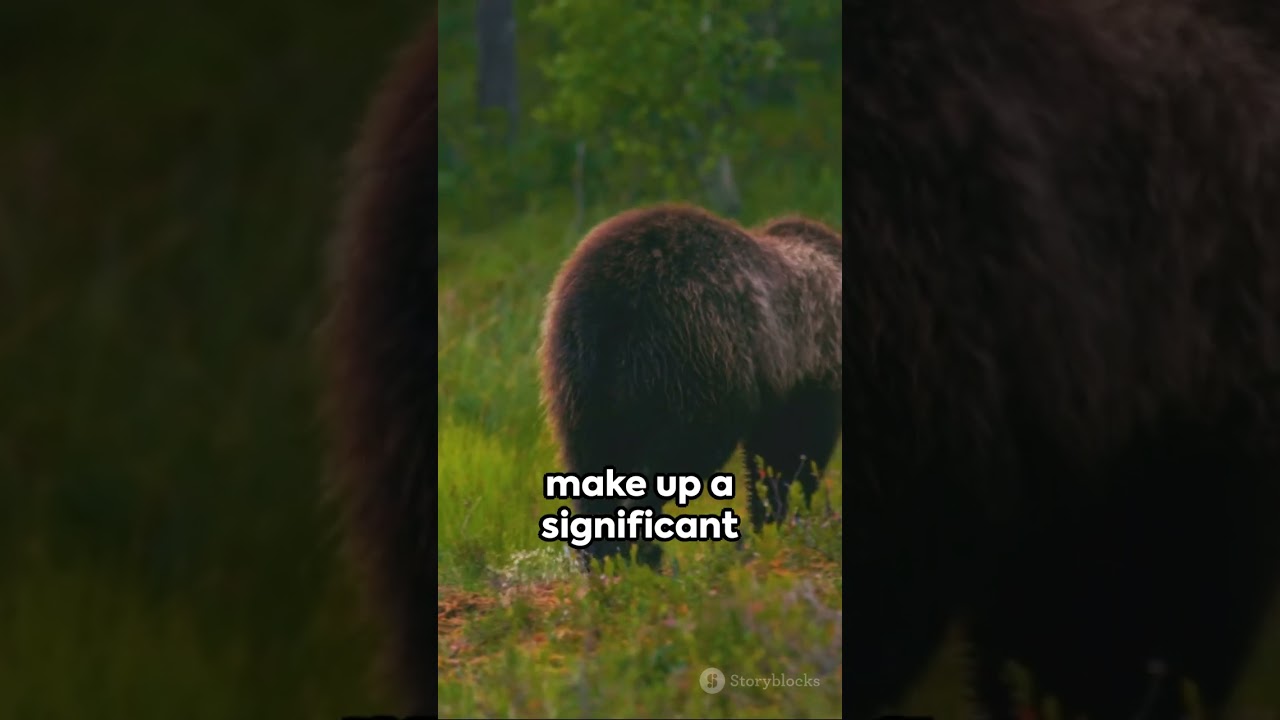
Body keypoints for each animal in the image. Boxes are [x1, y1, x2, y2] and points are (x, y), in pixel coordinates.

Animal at [537, 205, 843, 570]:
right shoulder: (803, 373)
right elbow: (792, 451)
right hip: (694, 357)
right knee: (673, 460)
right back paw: (647, 557)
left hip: (578, 383)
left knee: (591, 467)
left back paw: (610, 564)